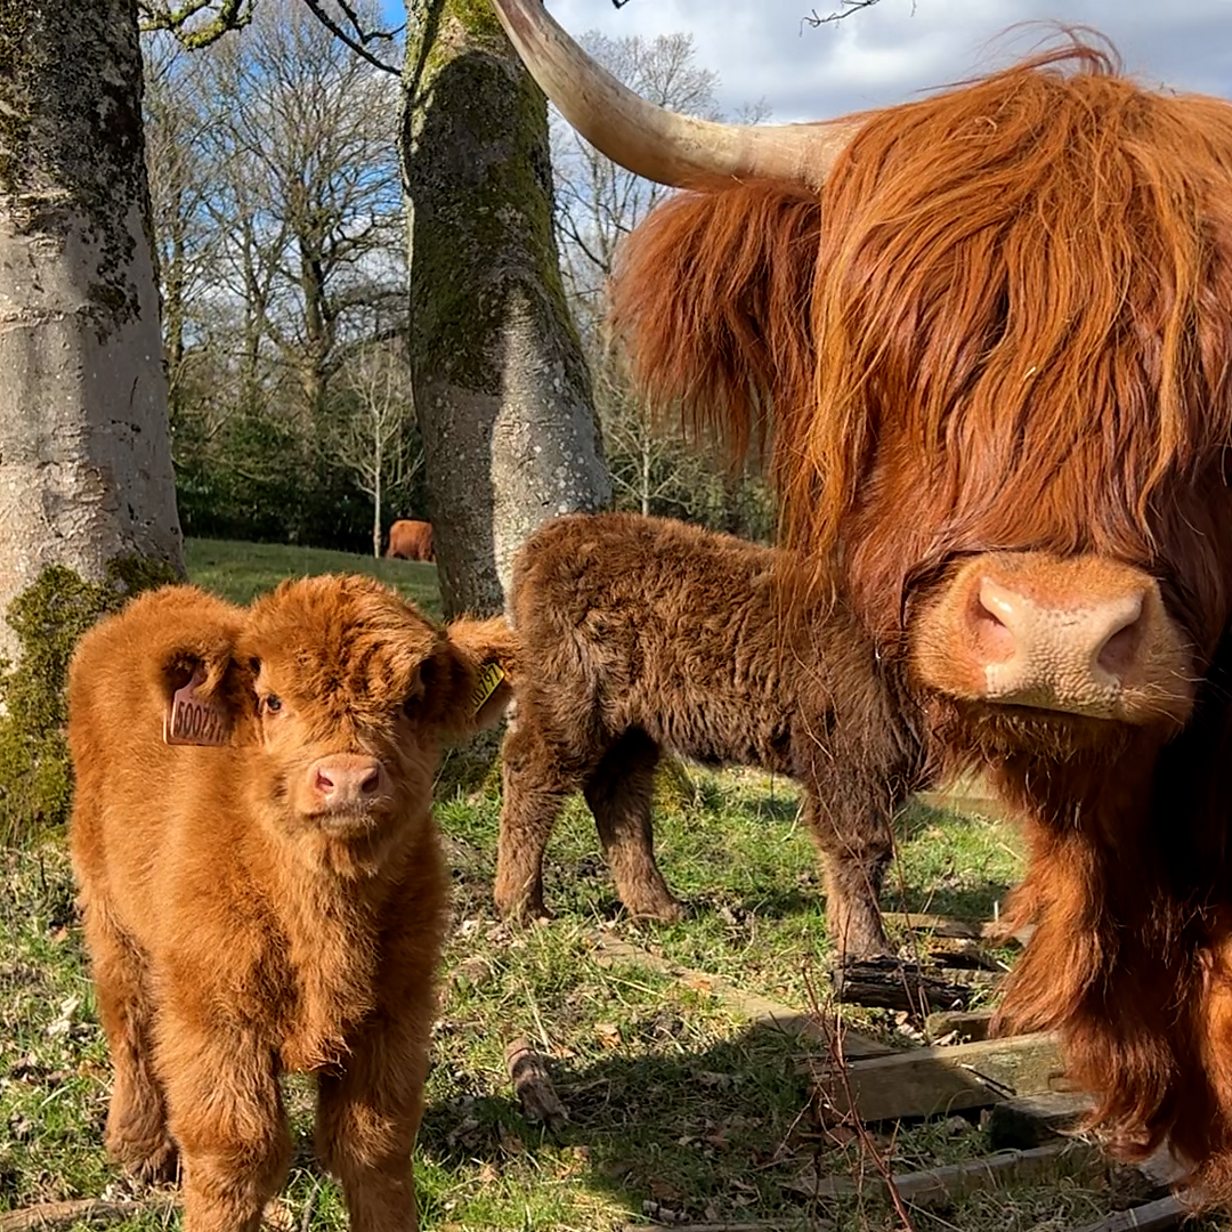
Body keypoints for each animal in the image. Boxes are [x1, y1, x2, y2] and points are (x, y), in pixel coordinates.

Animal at [68, 575, 515, 1232]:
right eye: (273, 701)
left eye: (411, 701)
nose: (348, 778)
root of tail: (149, 604)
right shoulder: (216, 1020)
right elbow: (234, 1155)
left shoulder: (395, 1011)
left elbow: (373, 1147)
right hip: (110, 914)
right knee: (127, 1019)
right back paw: (139, 1144)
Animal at [496, 511, 923, 961]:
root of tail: (554, 537)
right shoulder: (849, 760)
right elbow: (863, 848)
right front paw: (869, 948)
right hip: (570, 698)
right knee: (534, 771)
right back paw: (523, 905)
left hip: (631, 726)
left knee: (618, 795)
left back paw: (657, 907)